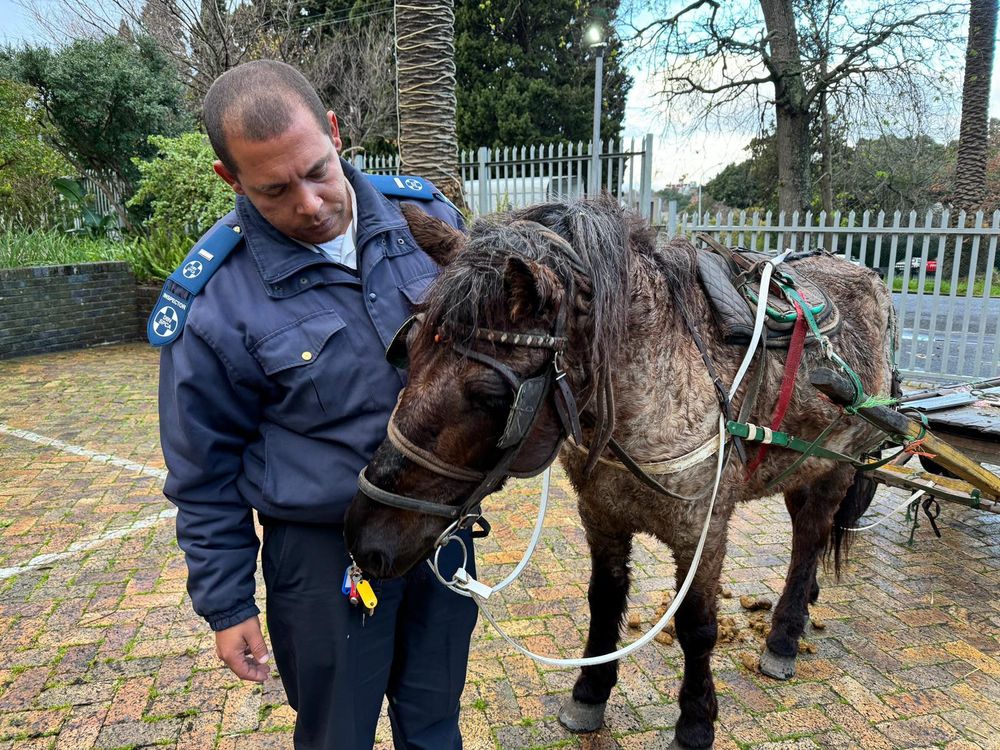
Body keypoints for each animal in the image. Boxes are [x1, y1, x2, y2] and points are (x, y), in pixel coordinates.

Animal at [344, 196, 897, 749]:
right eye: (408, 352)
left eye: (491, 395)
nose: (365, 539)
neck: (658, 380)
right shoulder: (601, 515)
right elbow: (604, 599)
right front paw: (590, 693)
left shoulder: (703, 530)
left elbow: (697, 625)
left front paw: (695, 722)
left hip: (835, 468)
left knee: (809, 536)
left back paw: (783, 636)